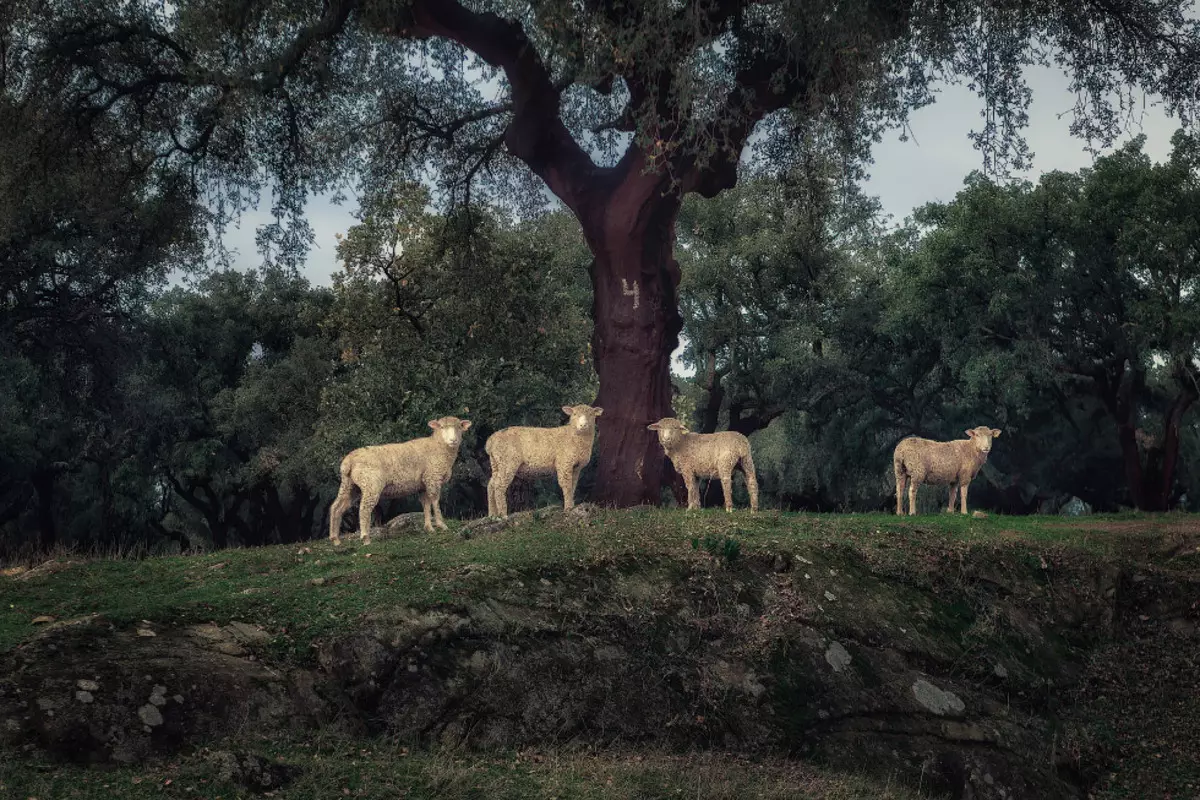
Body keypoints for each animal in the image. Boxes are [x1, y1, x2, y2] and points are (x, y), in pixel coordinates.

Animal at [333, 419, 477, 544]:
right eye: (441, 427)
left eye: (459, 427)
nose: (453, 440)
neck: (438, 446)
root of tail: (349, 460)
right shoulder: (433, 478)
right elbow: (435, 501)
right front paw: (441, 525)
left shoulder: (423, 484)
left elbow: (426, 504)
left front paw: (429, 528)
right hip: (371, 484)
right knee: (364, 509)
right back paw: (365, 538)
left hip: (349, 485)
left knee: (336, 507)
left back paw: (335, 539)